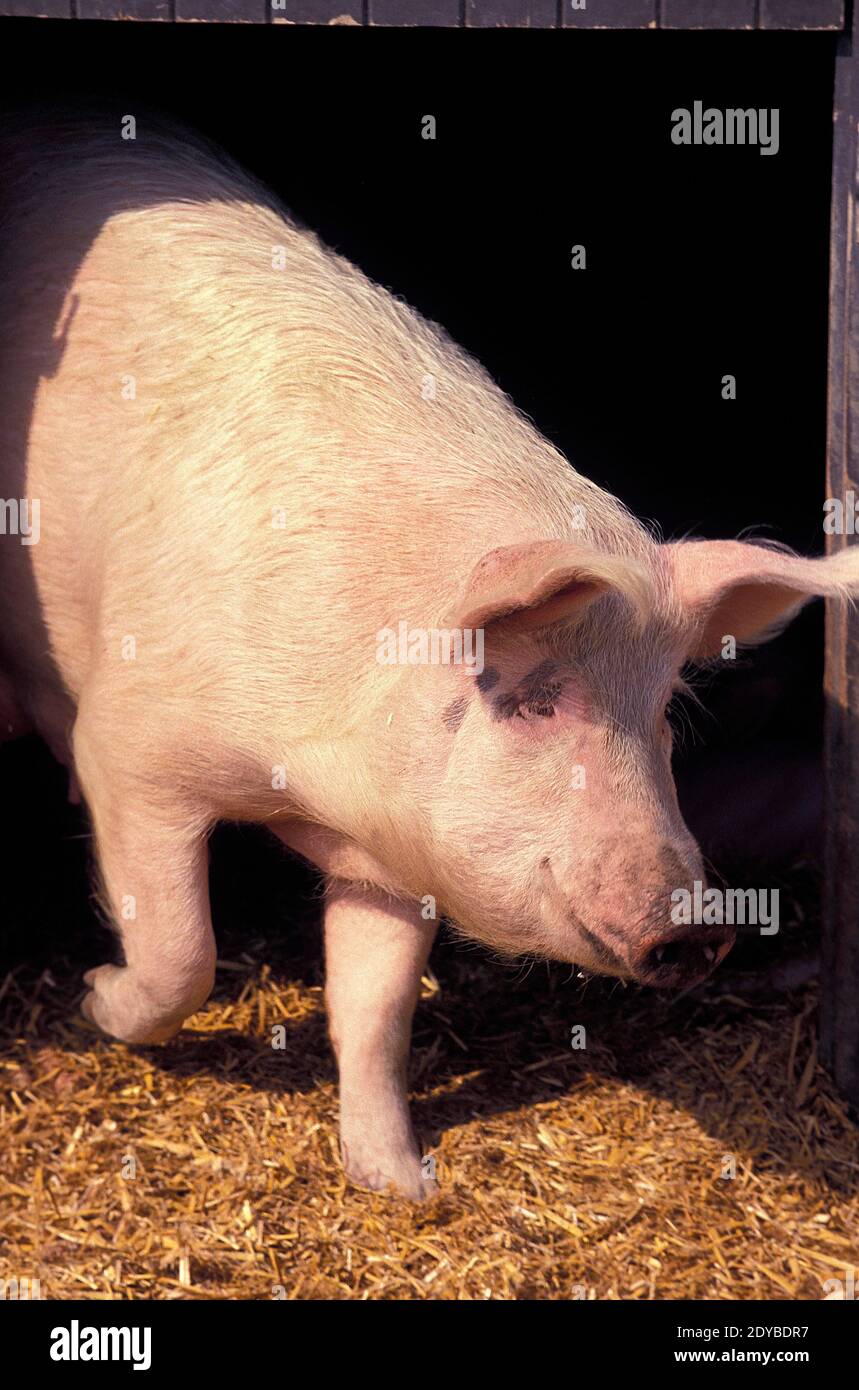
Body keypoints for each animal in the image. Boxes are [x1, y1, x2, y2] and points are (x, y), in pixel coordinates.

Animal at [0, 111, 856, 1199]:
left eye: (664, 712)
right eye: (532, 699)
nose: (701, 921)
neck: (310, 776)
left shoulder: (394, 851)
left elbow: (375, 1008)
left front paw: (403, 1183)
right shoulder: (130, 745)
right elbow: (181, 948)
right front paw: (94, 997)